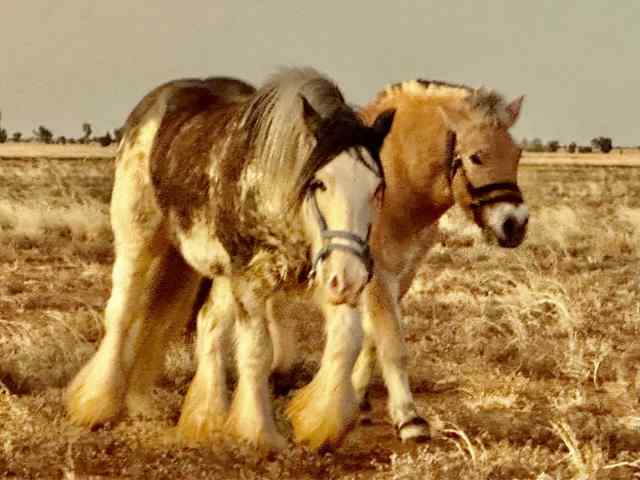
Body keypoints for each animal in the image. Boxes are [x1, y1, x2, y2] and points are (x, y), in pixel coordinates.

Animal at [64, 67, 396, 452]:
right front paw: (259, 432)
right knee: (121, 313)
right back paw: (95, 404)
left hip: (216, 268)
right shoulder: (252, 280)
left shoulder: (320, 271)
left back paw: (203, 419)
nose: (350, 279)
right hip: (138, 240)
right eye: (320, 184)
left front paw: (320, 422)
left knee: (208, 322)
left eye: (376, 188)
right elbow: (258, 351)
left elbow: (347, 338)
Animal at [191, 78, 529, 451]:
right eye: (476, 156)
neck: (399, 175)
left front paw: (356, 396)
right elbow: (391, 342)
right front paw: (409, 419)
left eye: (517, 155)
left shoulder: (400, 274)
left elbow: (370, 337)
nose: (515, 224)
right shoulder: (377, 274)